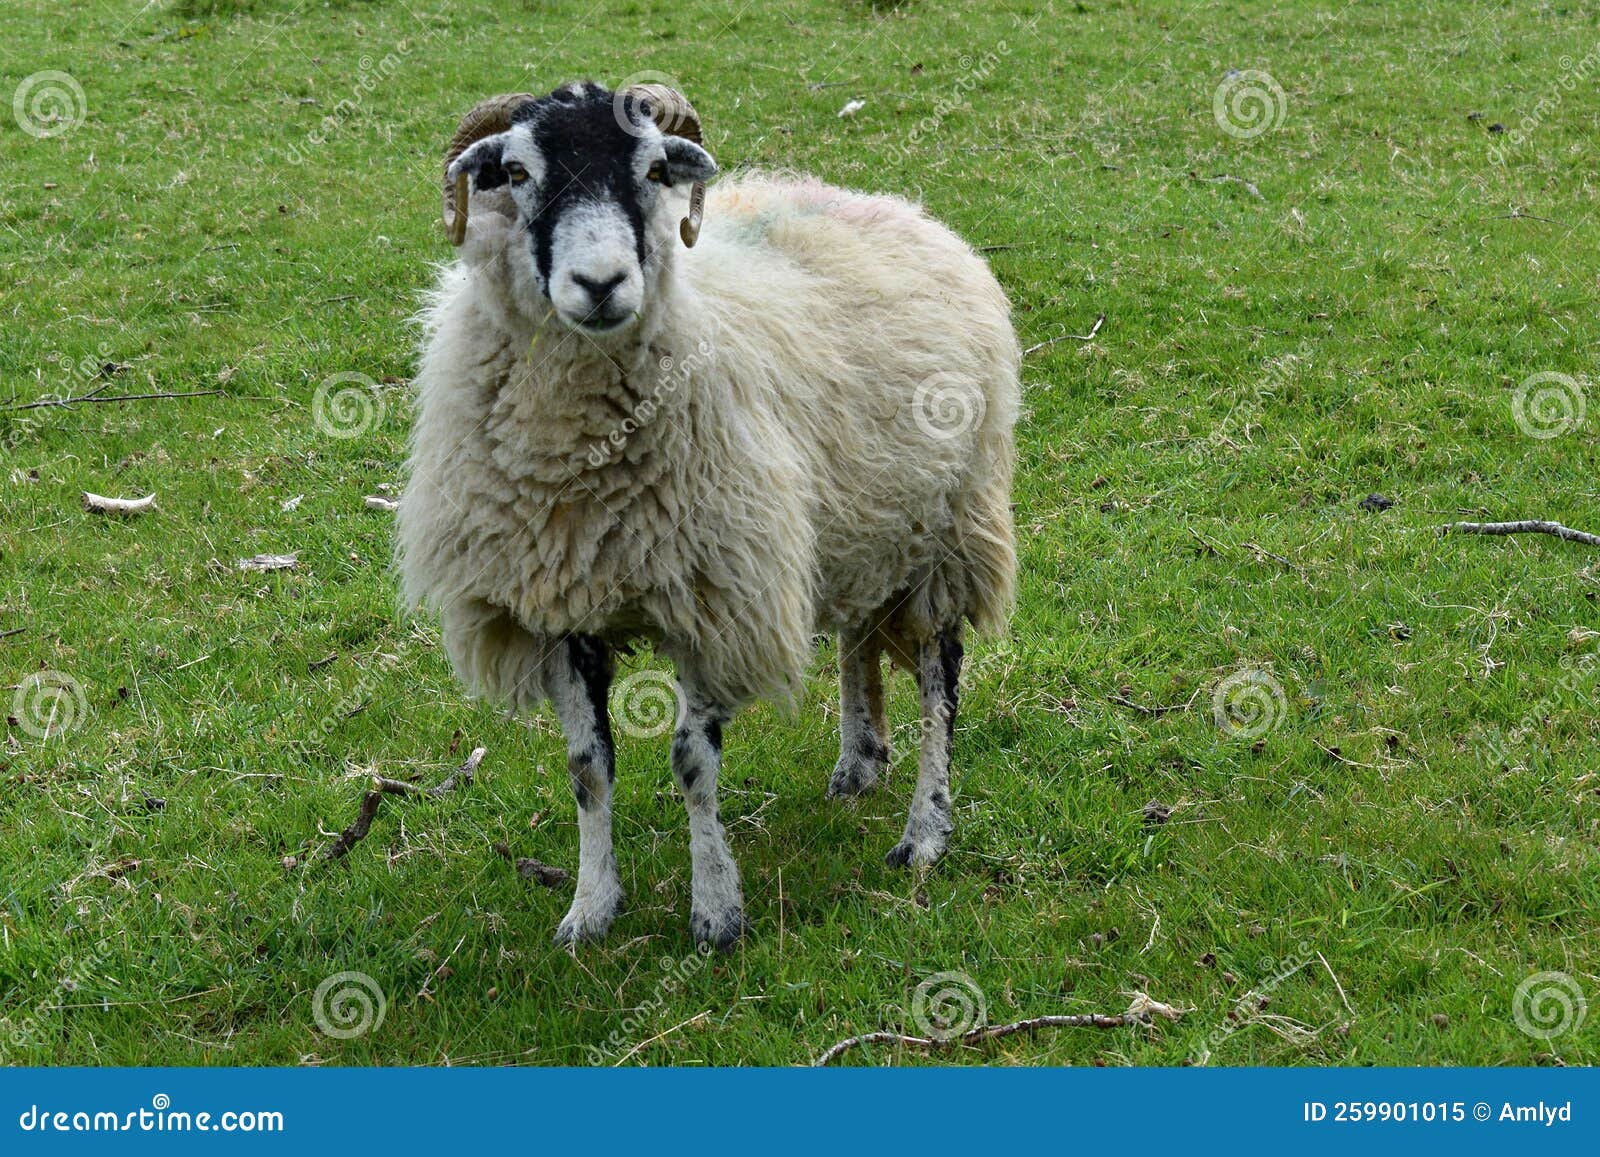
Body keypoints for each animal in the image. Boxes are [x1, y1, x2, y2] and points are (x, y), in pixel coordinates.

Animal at [397, 81, 1019, 948]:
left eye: (655, 169)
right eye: (515, 172)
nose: (600, 282)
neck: (579, 460)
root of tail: (905, 211)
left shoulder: (713, 596)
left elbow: (693, 762)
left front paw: (716, 911)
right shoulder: (559, 606)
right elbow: (587, 770)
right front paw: (588, 909)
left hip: (949, 529)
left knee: (940, 679)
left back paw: (925, 830)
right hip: (863, 519)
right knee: (859, 636)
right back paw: (859, 762)